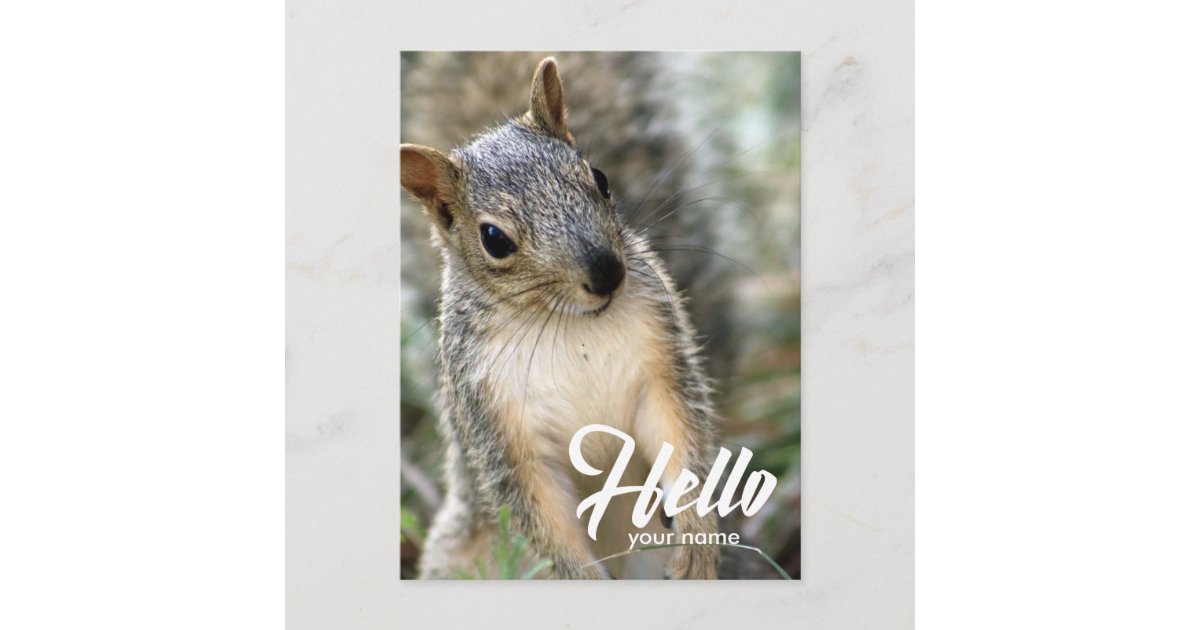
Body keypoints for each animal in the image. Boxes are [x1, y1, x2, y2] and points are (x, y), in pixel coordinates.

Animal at [401, 57, 723, 579]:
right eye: (494, 239)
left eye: (600, 178)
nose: (607, 272)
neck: (570, 328)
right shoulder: (500, 428)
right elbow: (540, 513)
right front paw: (583, 577)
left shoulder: (659, 365)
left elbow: (678, 436)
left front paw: (697, 540)